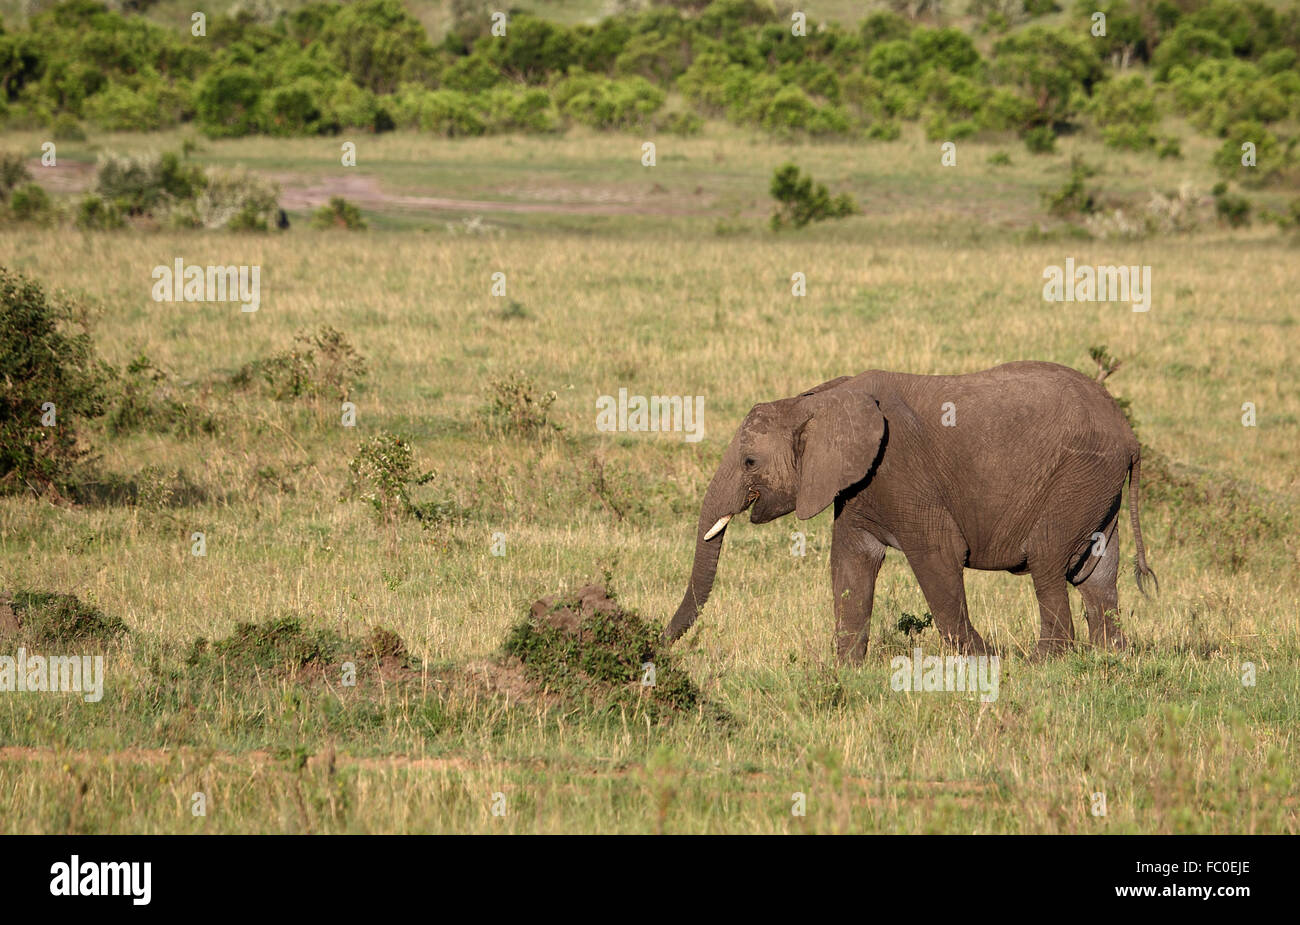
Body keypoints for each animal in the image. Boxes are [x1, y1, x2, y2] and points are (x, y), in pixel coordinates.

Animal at [663, 361, 1156, 661]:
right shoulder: (857, 485)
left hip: (1078, 477)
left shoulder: (902, 471)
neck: (815, 400)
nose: (657, 646)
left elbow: (938, 560)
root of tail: (1130, 436)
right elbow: (851, 566)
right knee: (1098, 576)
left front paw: (987, 663)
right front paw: (845, 671)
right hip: (1096, 489)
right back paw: (1112, 657)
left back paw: (1044, 661)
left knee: (1048, 562)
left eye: (750, 462)